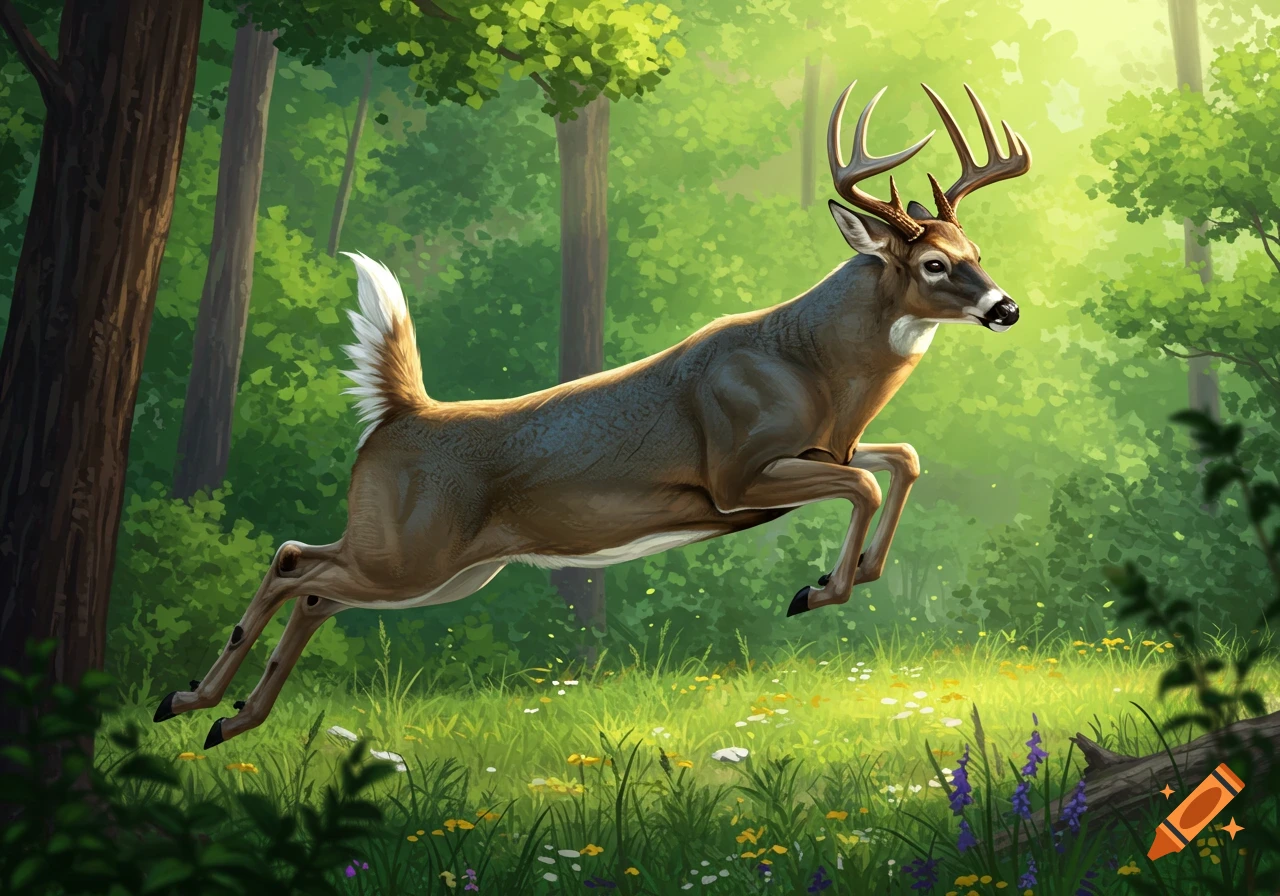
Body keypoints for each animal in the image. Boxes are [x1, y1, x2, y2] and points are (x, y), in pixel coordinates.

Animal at [154, 80, 1031, 748]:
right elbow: (869, 483)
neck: (814, 372)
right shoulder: (735, 477)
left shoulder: (828, 448)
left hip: (442, 569)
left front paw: (840, 577)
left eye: (979, 251)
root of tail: (399, 414)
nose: (1006, 307)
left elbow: (899, 460)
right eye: (933, 263)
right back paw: (192, 701)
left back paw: (222, 717)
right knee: (294, 561)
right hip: (409, 553)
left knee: (312, 584)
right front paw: (817, 590)